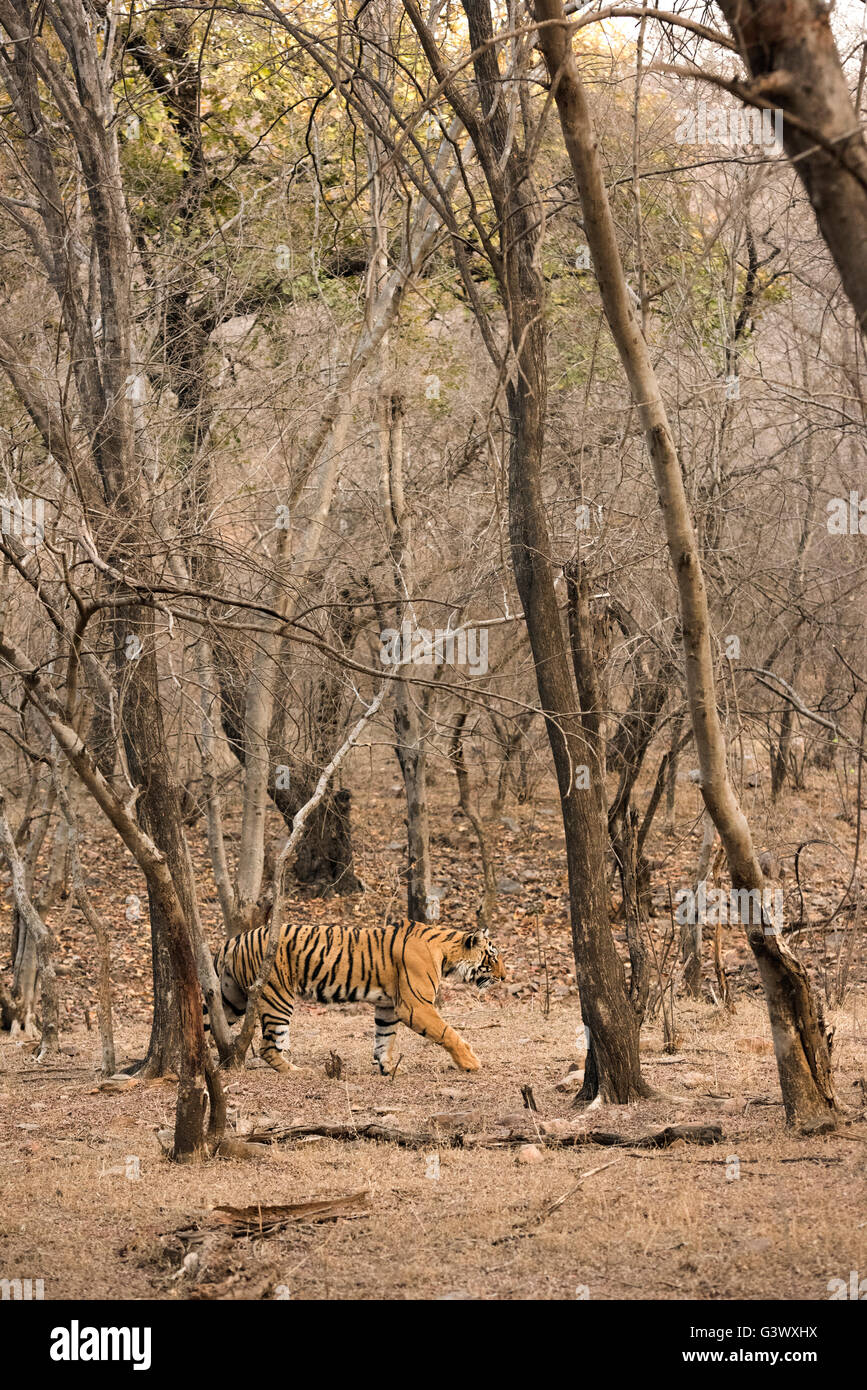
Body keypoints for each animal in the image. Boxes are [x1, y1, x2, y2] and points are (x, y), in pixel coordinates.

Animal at [207, 918, 505, 1074]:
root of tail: (234, 940)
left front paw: (388, 1069)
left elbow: (385, 1038)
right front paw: (471, 1063)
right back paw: (295, 1071)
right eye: (492, 957)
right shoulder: (415, 1006)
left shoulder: (388, 1006)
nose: (504, 977)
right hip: (276, 998)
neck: (446, 954)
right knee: (269, 1046)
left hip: (232, 999)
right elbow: (448, 1033)